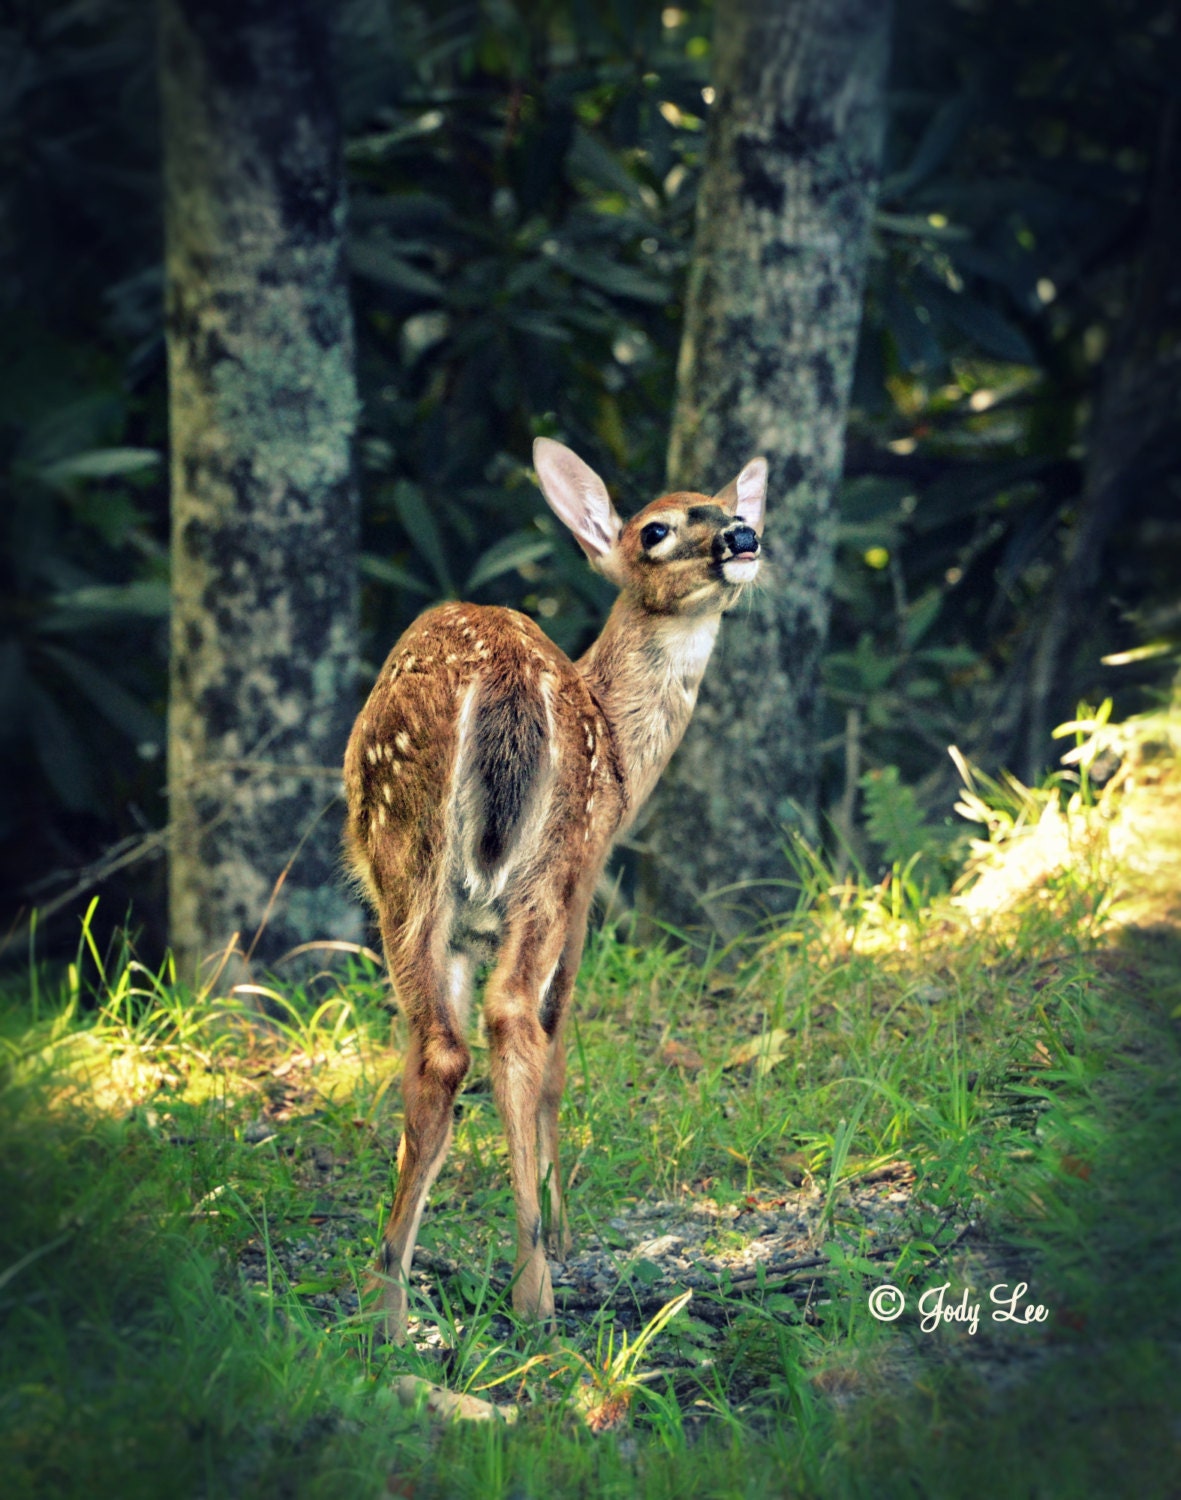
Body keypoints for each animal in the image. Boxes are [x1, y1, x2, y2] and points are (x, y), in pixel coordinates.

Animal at [343, 437, 767, 1341]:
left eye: (730, 509)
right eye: (654, 530)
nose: (741, 535)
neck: (623, 757)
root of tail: (507, 682)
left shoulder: (533, 902)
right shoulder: (585, 876)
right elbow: (557, 1045)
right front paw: (562, 1229)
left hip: (431, 870)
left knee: (452, 1044)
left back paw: (402, 1298)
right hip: (506, 864)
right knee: (502, 1028)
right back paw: (517, 1287)